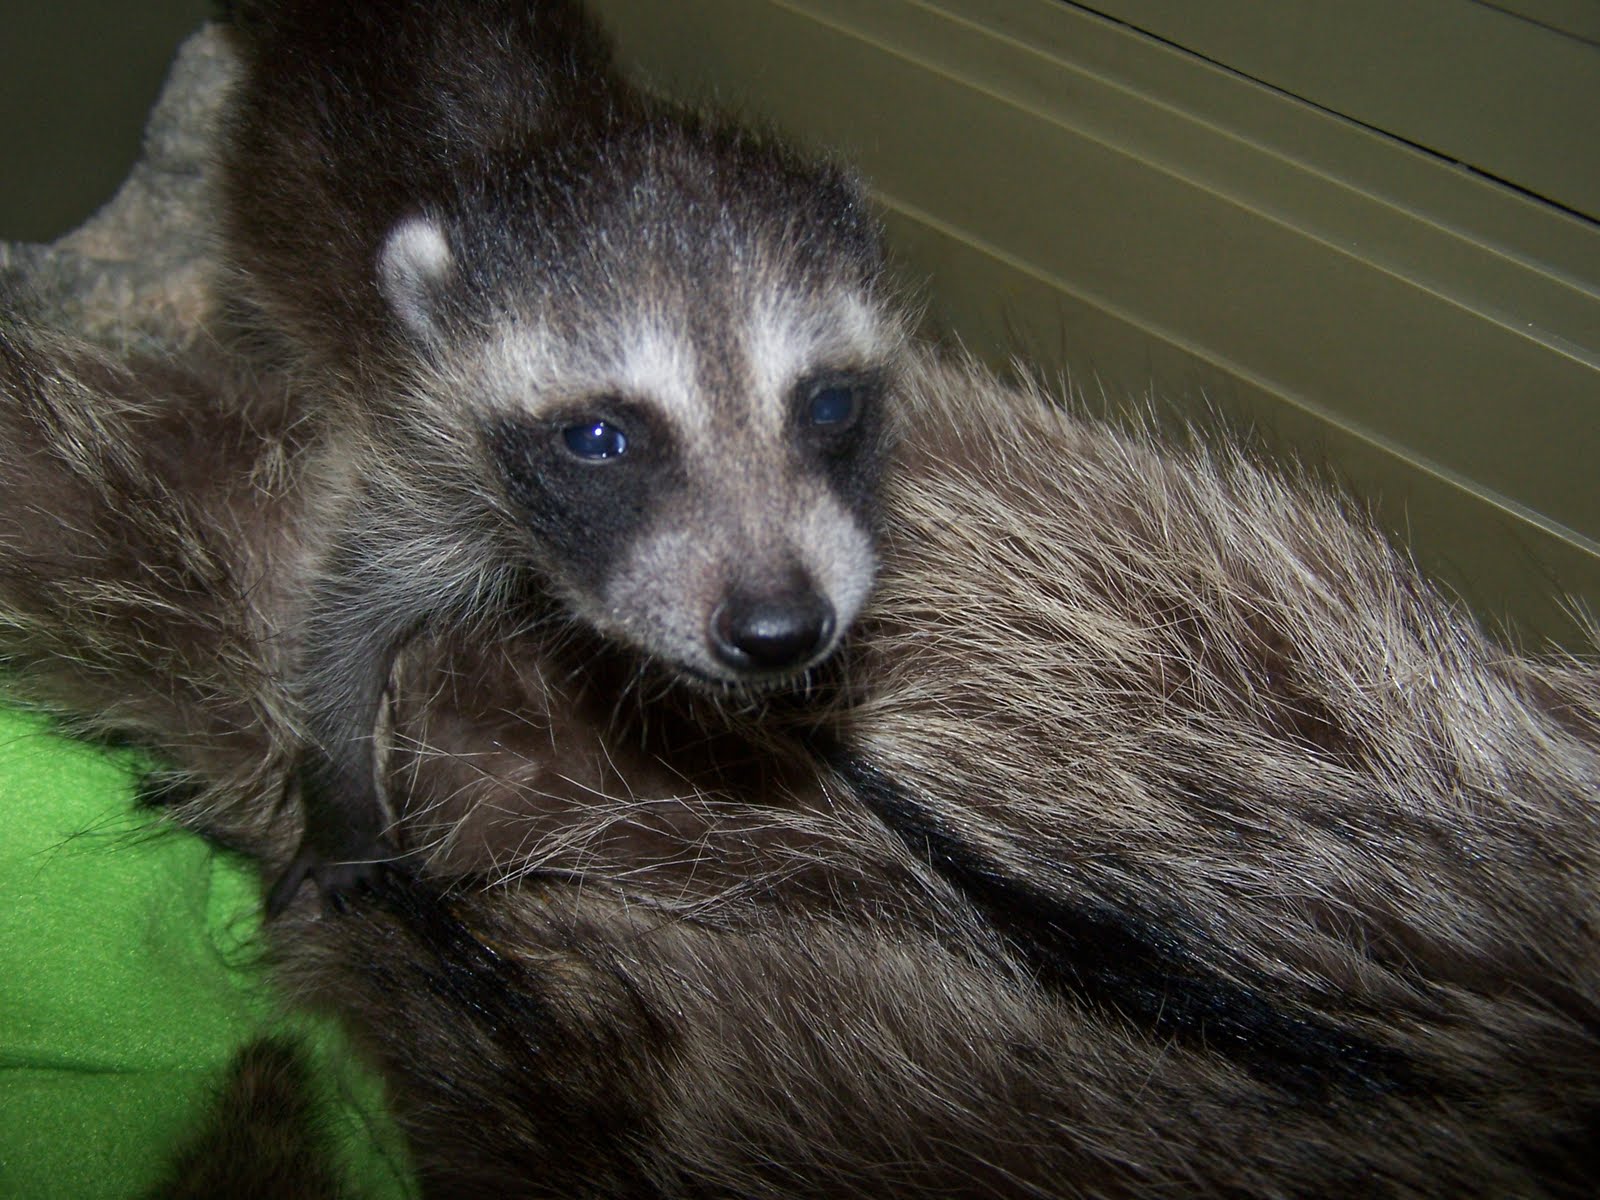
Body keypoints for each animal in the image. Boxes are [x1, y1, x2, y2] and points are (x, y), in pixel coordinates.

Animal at [216, 0, 904, 908]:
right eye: (597, 439)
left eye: (830, 405)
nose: (779, 630)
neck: (553, 134)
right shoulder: (406, 448)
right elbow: (331, 617)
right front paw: (337, 793)